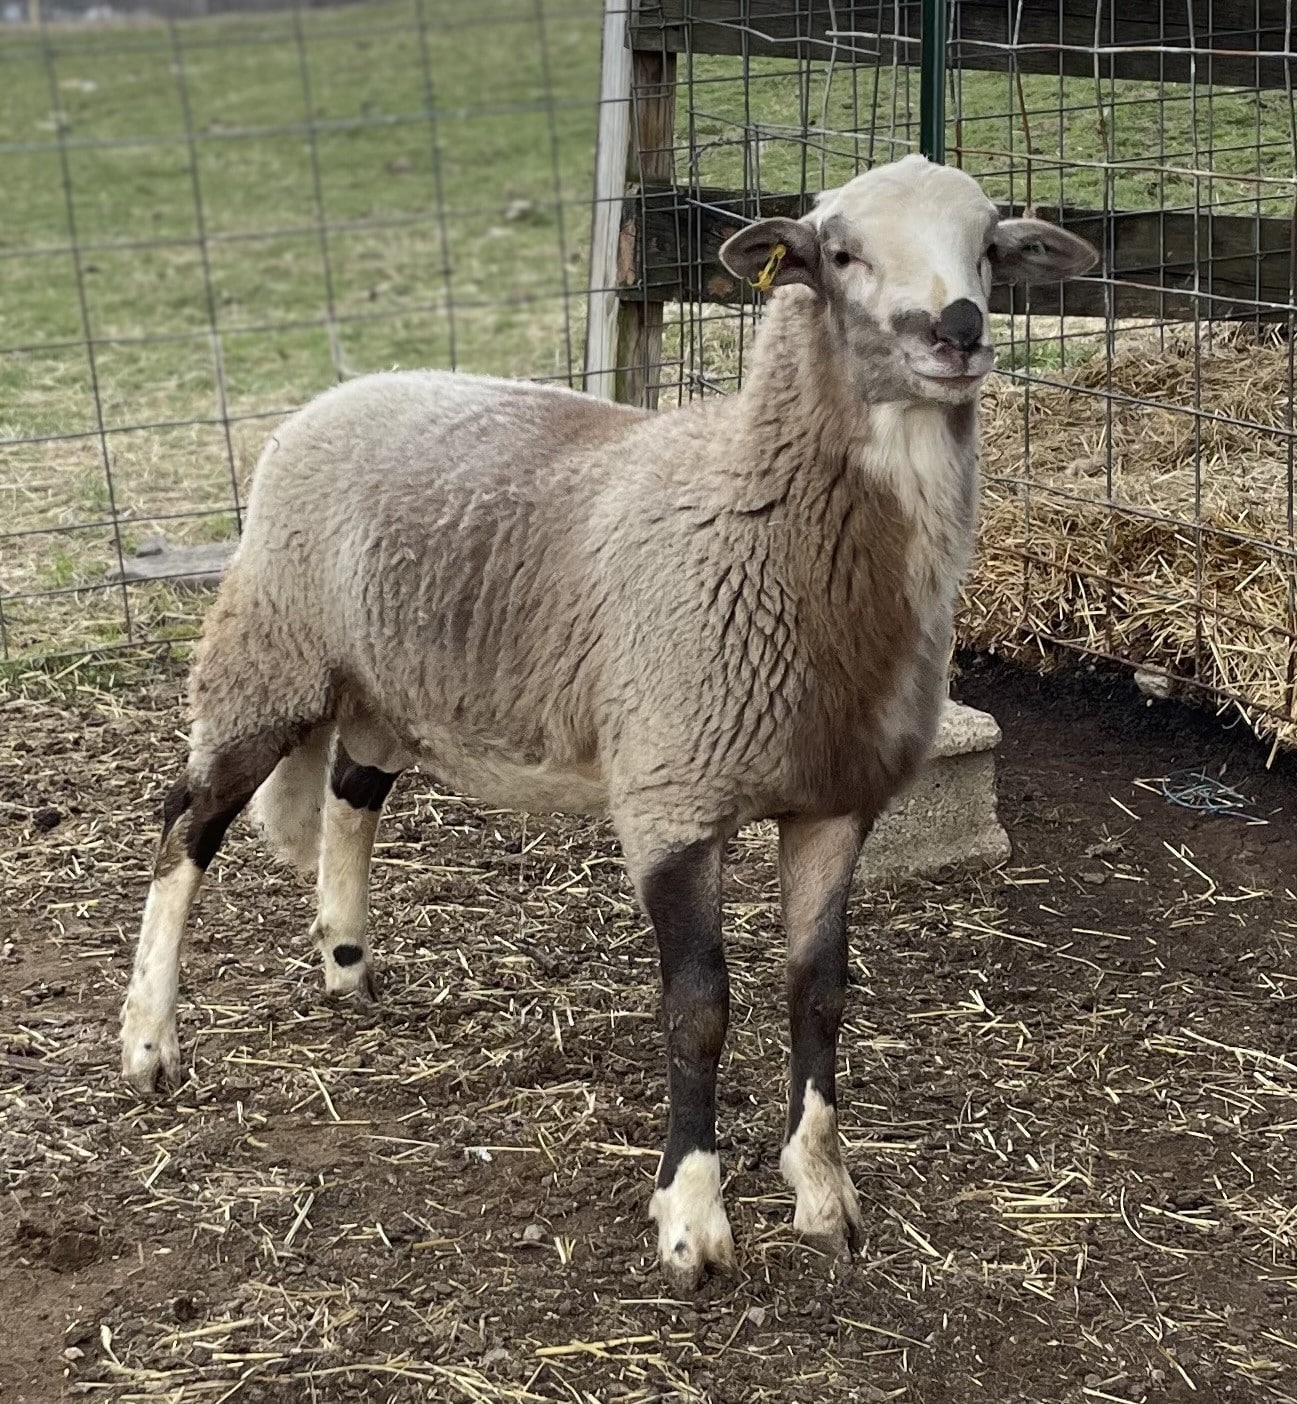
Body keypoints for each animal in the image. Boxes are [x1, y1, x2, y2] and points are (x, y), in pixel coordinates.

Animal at [119, 153, 1097, 1290]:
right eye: (840, 252)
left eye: (988, 248)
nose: (958, 330)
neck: (758, 501)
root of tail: (338, 394)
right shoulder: (673, 793)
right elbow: (698, 1012)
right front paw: (692, 1222)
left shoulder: (834, 800)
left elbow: (819, 994)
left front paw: (823, 1198)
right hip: (267, 656)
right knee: (184, 828)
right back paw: (149, 1044)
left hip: (387, 684)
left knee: (351, 795)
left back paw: (348, 967)